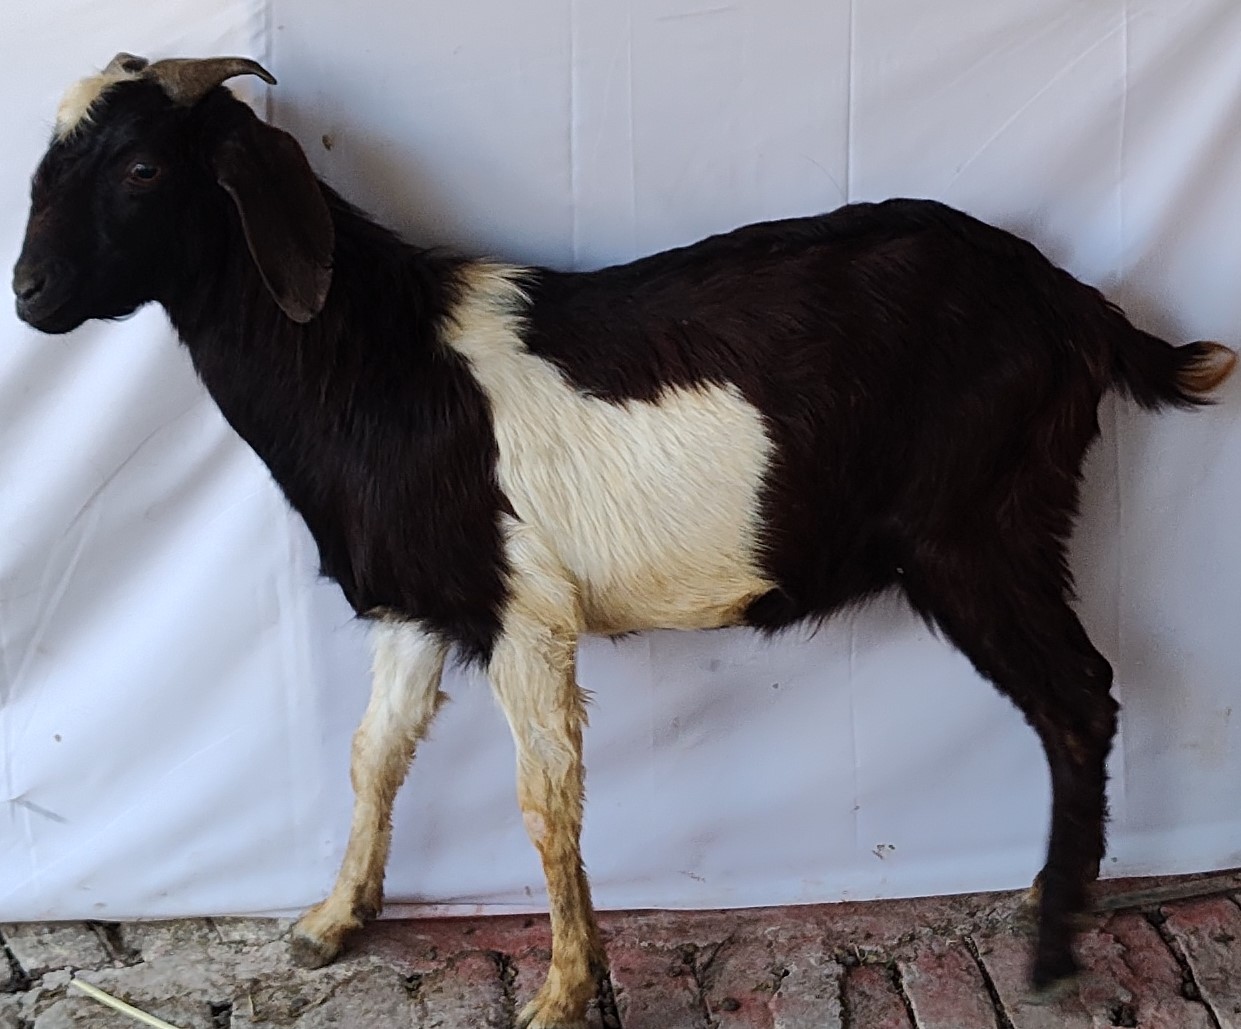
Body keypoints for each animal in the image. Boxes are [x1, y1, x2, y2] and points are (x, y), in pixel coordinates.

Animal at [12, 52, 1236, 1029]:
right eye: (48, 163)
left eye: (141, 170)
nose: (29, 294)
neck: (381, 365)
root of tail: (1074, 305)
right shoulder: (421, 602)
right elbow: (373, 756)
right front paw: (330, 919)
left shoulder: (525, 614)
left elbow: (544, 800)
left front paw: (559, 994)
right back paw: (1052, 890)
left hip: (982, 529)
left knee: (1077, 698)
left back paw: (1052, 938)